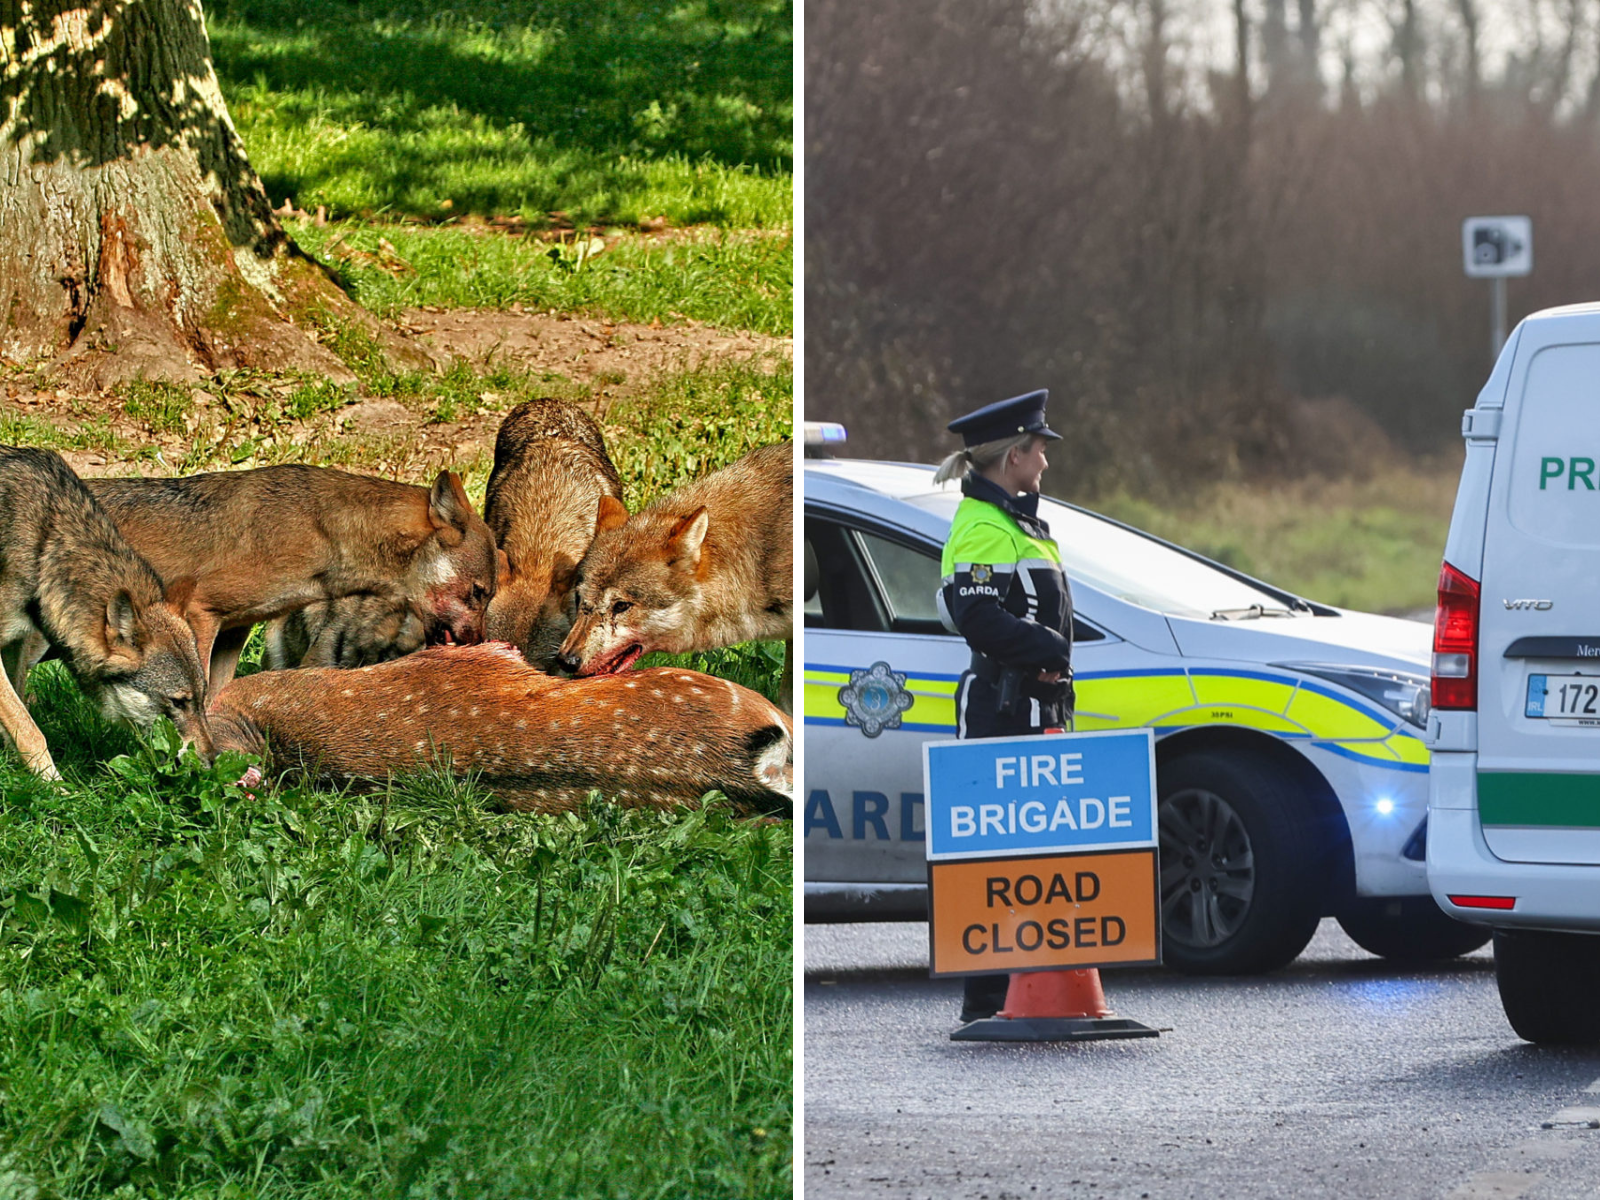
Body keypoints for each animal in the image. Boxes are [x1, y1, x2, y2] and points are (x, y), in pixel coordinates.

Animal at [0, 447, 214, 779]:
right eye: (178, 702)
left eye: (202, 698)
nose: (214, 758)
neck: (44, 547)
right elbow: (28, 728)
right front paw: (54, 784)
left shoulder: (17, 641)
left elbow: (19, 710)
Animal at [88, 465, 497, 693]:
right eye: (479, 593)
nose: (481, 642)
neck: (322, 531)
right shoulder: (201, 613)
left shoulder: (234, 629)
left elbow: (218, 694)